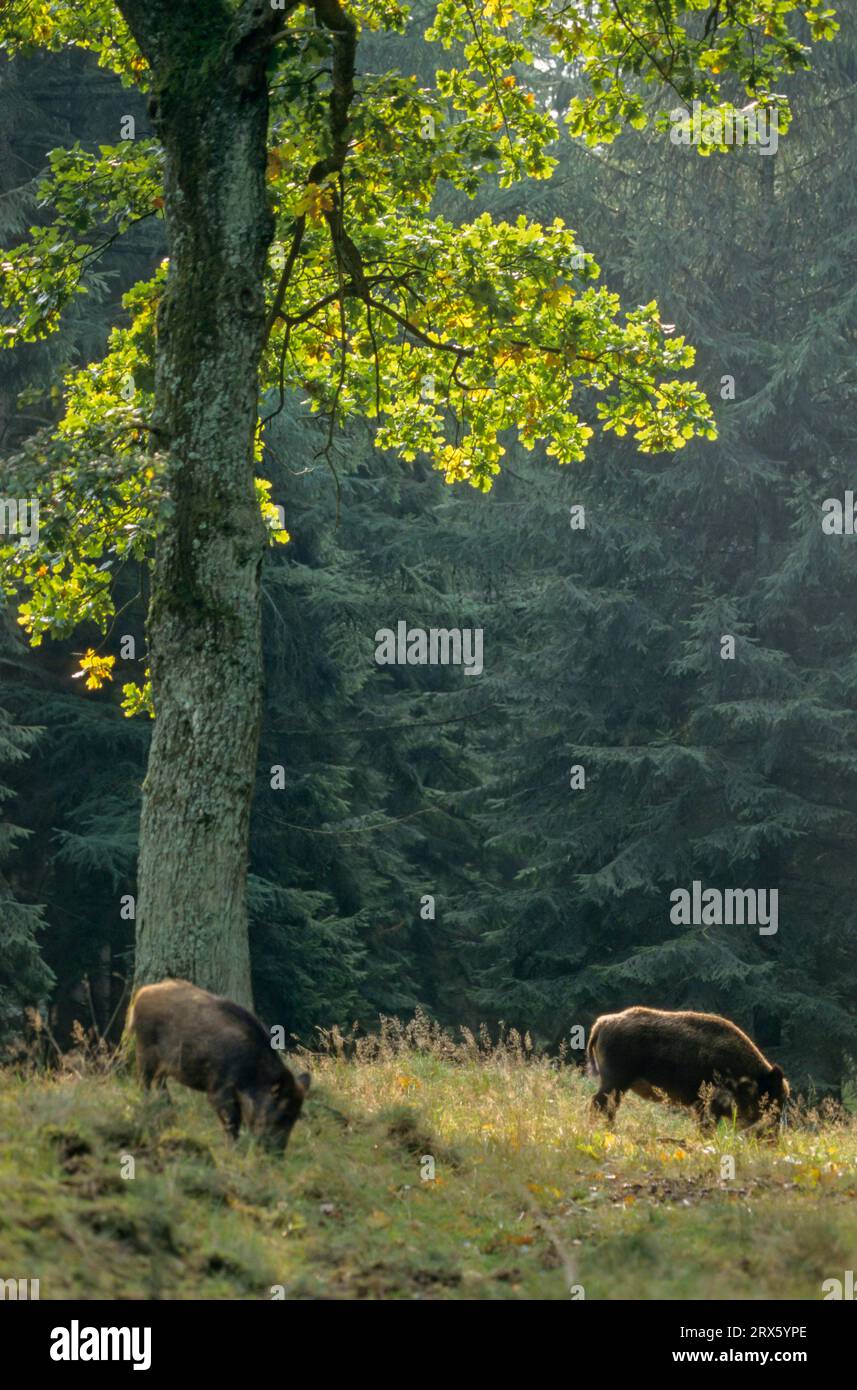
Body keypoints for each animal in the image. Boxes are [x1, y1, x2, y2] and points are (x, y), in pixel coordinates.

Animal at [129, 979, 310, 1151]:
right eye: (282, 1113)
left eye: (296, 1116)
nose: (278, 1153)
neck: (253, 1074)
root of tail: (141, 993)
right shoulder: (220, 1089)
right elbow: (232, 1121)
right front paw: (233, 1149)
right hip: (144, 1050)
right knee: (143, 1081)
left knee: (159, 1084)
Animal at [587, 1005, 789, 1128]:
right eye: (774, 1097)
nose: (774, 1140)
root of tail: (600, 1024)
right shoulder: (709, 1102)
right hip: (615, 1079)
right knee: (599, 1103)